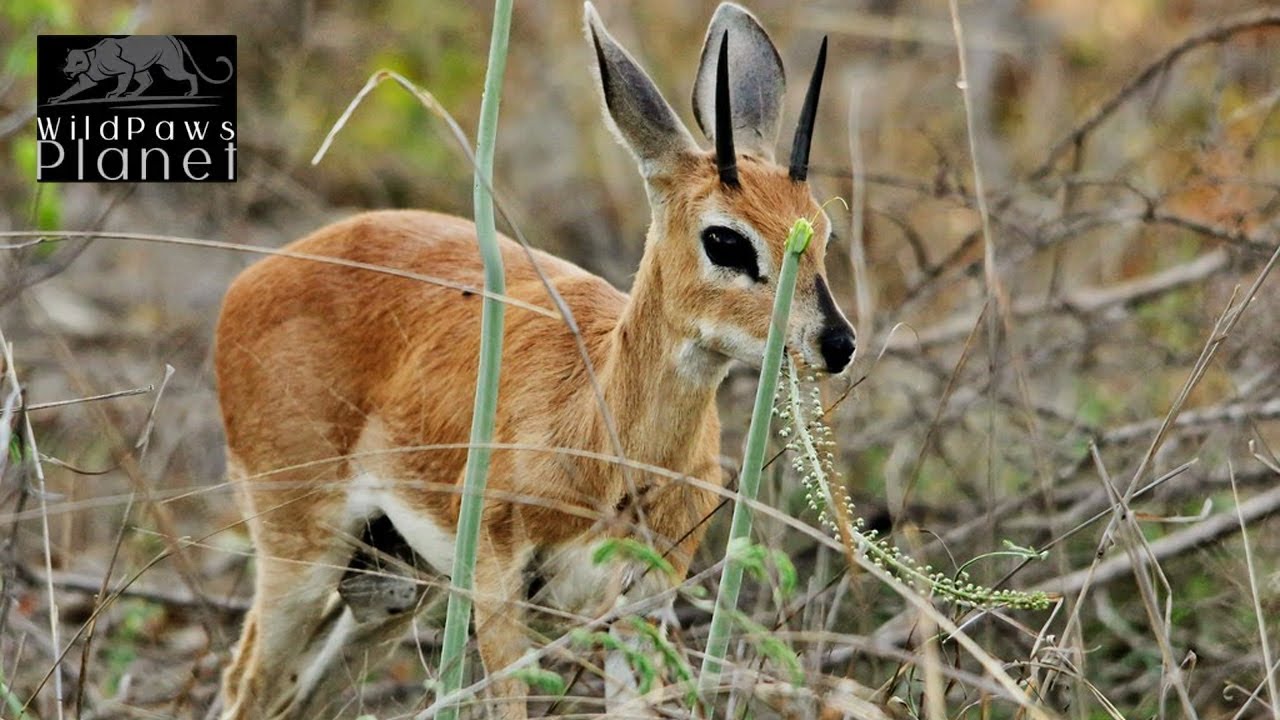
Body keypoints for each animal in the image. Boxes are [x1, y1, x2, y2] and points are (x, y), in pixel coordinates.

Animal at [214, 3, 854, 718]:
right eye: (725, 239)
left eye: (821, 232)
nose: (837, 343)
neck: (603, 435)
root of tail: (257, 276)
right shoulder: (499, 587)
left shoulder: (642, 603)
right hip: (303, 555)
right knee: (247, 682)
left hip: (393, 582)